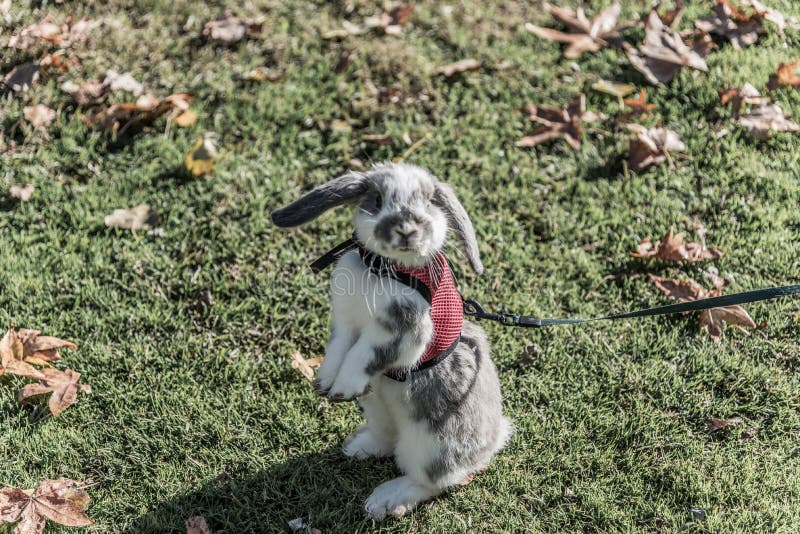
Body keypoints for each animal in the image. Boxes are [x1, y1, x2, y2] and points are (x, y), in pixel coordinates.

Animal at [271, 162, 512, 520]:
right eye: (377, 199)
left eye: (429, 202)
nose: (407, 230)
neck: (383, 268)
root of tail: (492, 442)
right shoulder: (344, 322)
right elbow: (339, 349)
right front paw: (325, 384)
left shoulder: (401, 331)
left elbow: (362, 354)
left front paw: (342, 388)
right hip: (377, 407)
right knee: (387, 439)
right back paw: (358, 446)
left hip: (431, 447)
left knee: (433, 480)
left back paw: (386, 500)